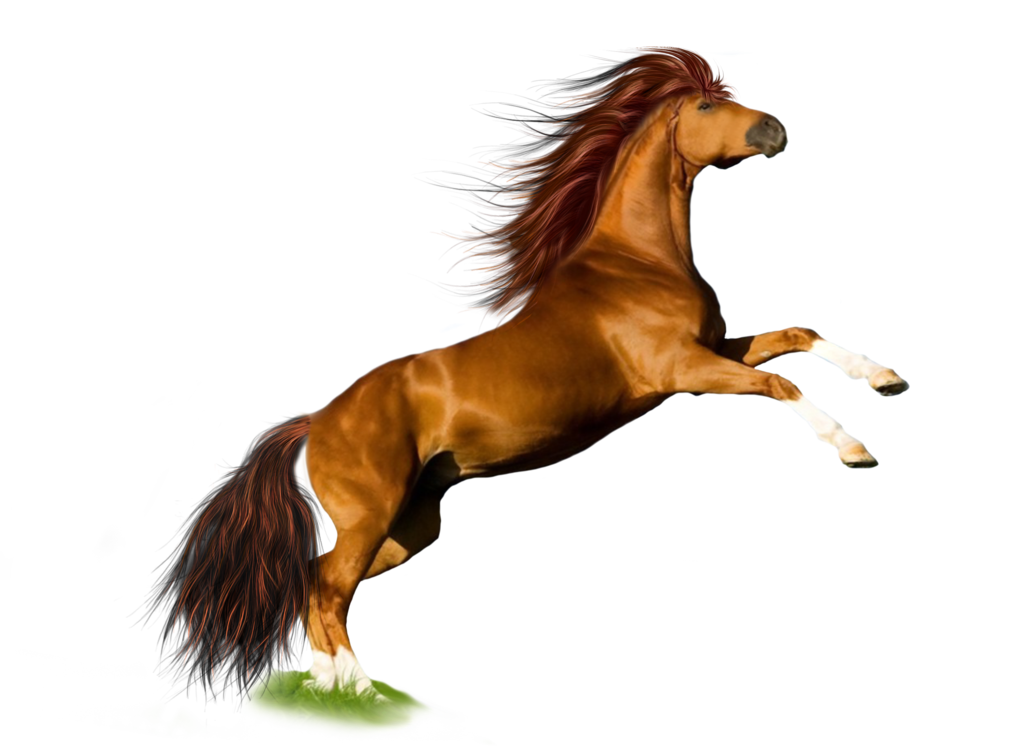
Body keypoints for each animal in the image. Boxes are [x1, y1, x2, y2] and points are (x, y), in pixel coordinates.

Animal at [142, 46, 910, 714]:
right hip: (370, 514)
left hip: (414, 523)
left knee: (317, 588)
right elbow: (783, 387)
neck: (637, 263)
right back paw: (369, 698)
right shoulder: (683, 370)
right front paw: (854, 448)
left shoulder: (720, 346)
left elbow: (800, 335)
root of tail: (309, 425)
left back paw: (334, 694)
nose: (778, 129)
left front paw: (886, 379)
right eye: (703, 104)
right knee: (328, 588)